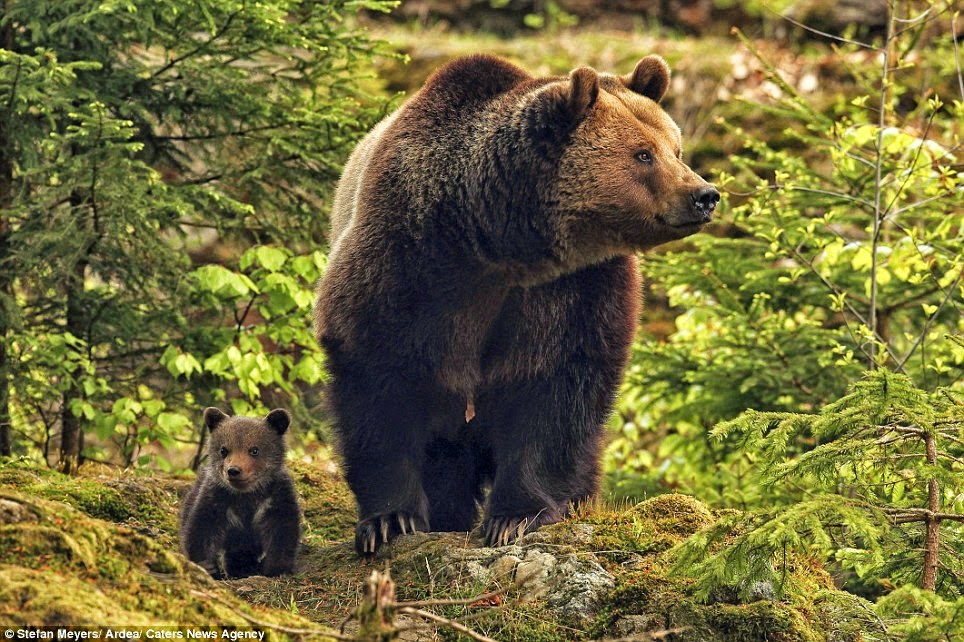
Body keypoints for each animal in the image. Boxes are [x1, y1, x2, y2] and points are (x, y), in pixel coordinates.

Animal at [179, 407, 301, 578]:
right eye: (223, 450)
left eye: (254, 450)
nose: (234, 470)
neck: (247, 495)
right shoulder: (217, 498)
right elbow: (202, 528)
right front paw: (207, 566)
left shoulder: (275, 496)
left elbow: (282, 529)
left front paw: (277, 568)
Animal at [314, 53, 718, 556]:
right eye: (643, 154)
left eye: (676, 149)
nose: (704, 194)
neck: (495, 242)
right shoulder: (403, 264)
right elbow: (377, 383)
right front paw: (390, 519)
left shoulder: (577, 291)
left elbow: (555, 394)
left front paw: (516, 517)